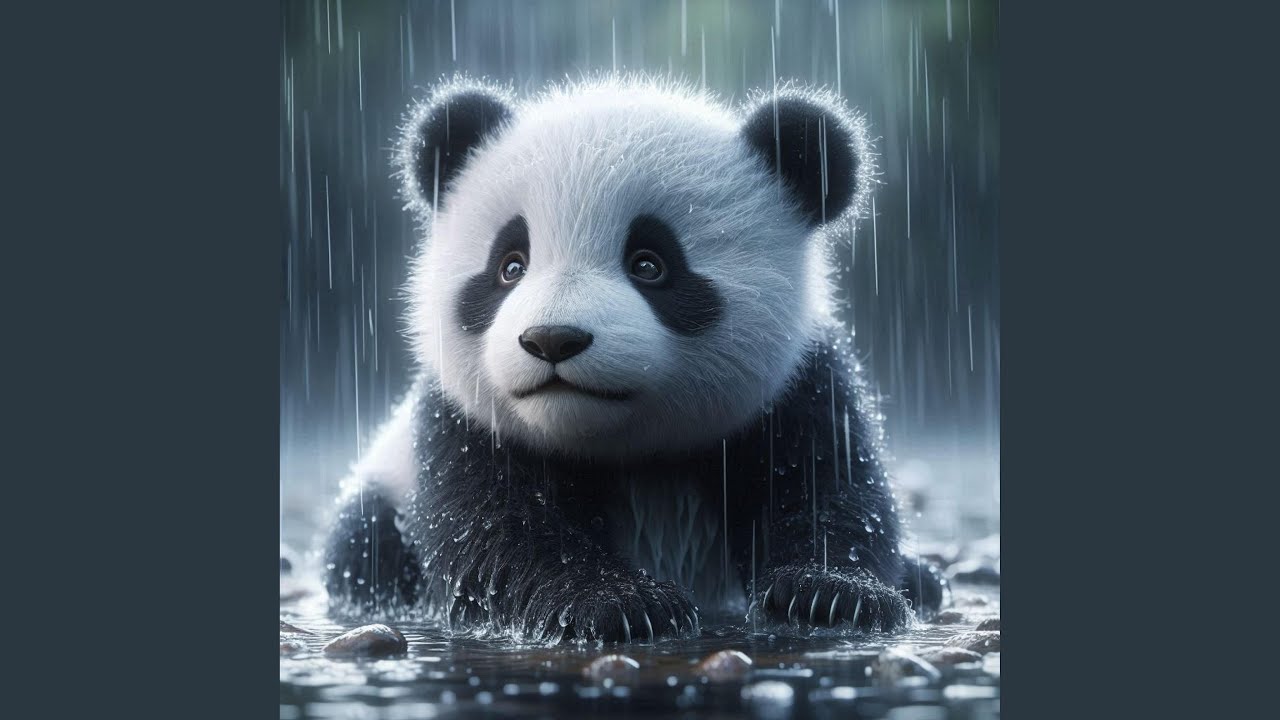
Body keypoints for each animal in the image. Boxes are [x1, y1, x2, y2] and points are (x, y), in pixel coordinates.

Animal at [323, 75, 945, 643]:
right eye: (510, 266)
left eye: (650, 264)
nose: (552, 340)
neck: (632, 447)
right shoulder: (466, 421)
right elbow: (497, 528)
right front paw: (620, 604)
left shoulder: (797, 387)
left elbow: (830, 486)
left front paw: (831, 593)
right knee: (365, 549)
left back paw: (920, 579)